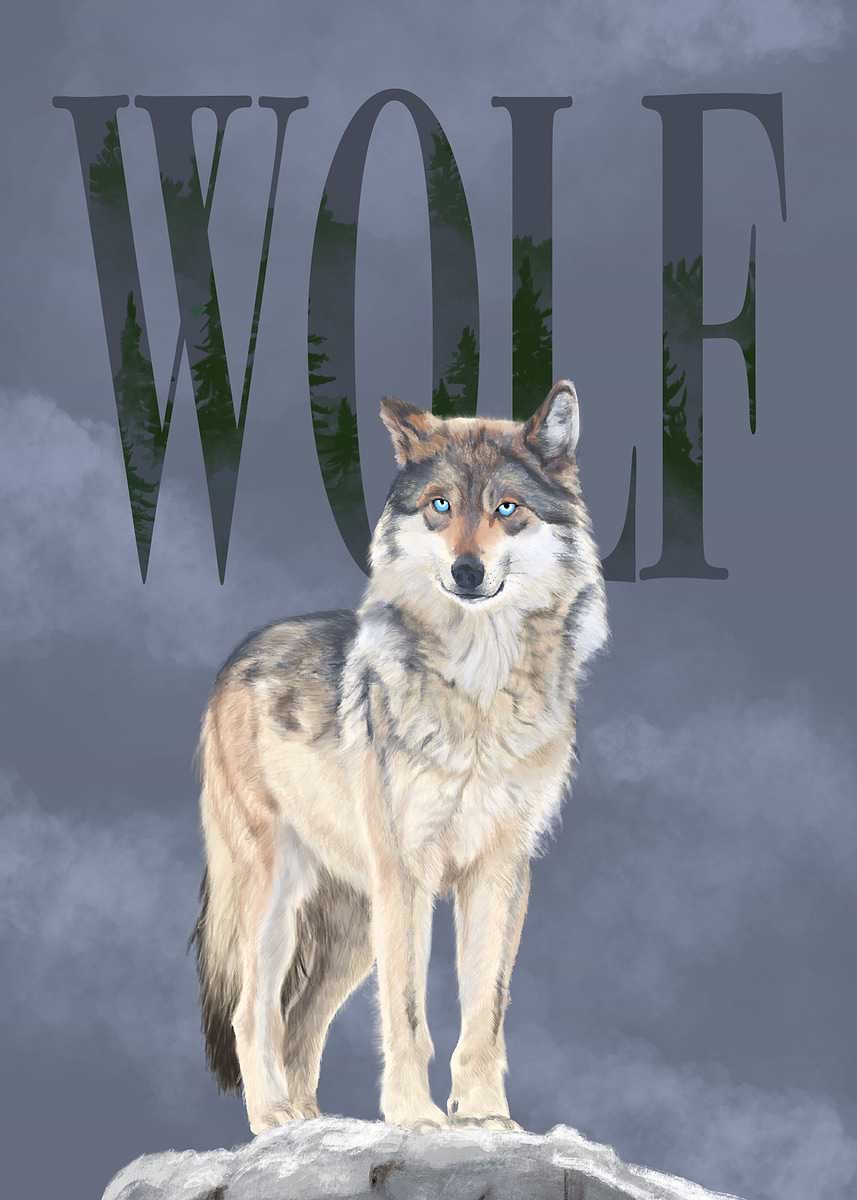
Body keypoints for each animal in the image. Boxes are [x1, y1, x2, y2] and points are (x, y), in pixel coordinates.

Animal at [189, 379, 609, 1135]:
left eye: (506, 509)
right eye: (439, 505)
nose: (466, 570)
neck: (477, 691)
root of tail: (238, 656)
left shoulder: (498, 872)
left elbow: (485, 1010)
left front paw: (485, 1117)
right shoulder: (406, 876)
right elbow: (409, 1014)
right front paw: (415, 1118)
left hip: (353, 928)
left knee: (301, 1021)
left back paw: (314, 1120)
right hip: (278, 904)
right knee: (252, 1010)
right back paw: (275, 1121)